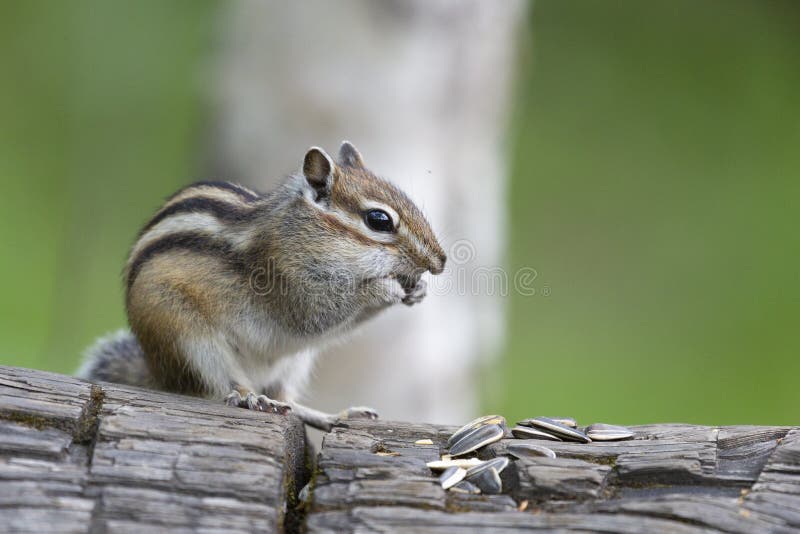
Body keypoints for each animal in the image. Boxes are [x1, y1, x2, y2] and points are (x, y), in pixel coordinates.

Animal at [78, 141, 446, 430]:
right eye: (378, 220)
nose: (440, 261)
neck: (301, 231)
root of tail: (158, 374)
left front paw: (418, 290)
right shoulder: (288, 283)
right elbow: (317, 313)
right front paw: (386, 289)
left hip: (294, 364)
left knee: (288, 401)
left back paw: (335, 416)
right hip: (189, 340)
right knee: (222, 389)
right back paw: (251, 398)